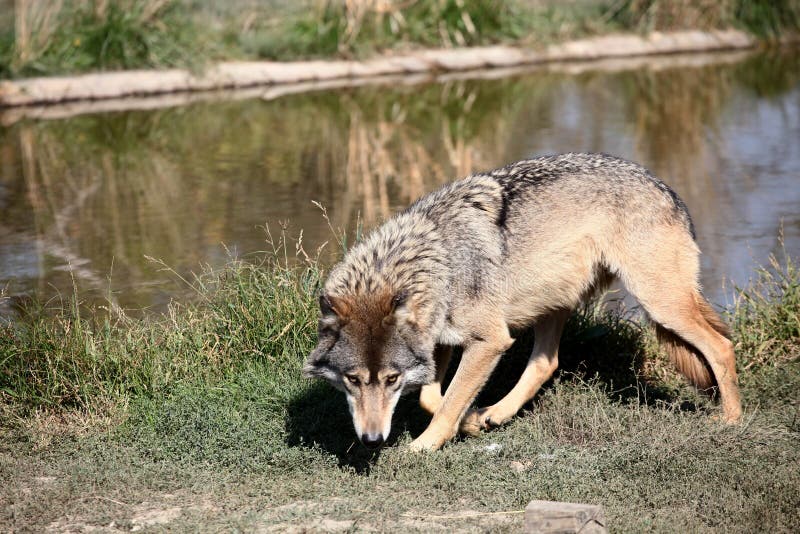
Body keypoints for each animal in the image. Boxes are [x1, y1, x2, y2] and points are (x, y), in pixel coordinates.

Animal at [303, 153, 742, 451]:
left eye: (391, 380)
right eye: (353, 380)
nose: (372, 440)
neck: (438, 261)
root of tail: (667, 189)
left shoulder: (490, 340)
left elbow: (447, 402)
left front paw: (425, 445)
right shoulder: (443, 343)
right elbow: (434, 398)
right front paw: (470, 421)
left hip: (660, 304)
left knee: (722, 346)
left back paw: (732, 421)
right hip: (554, 304)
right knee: (546, 363)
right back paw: (495, 414)